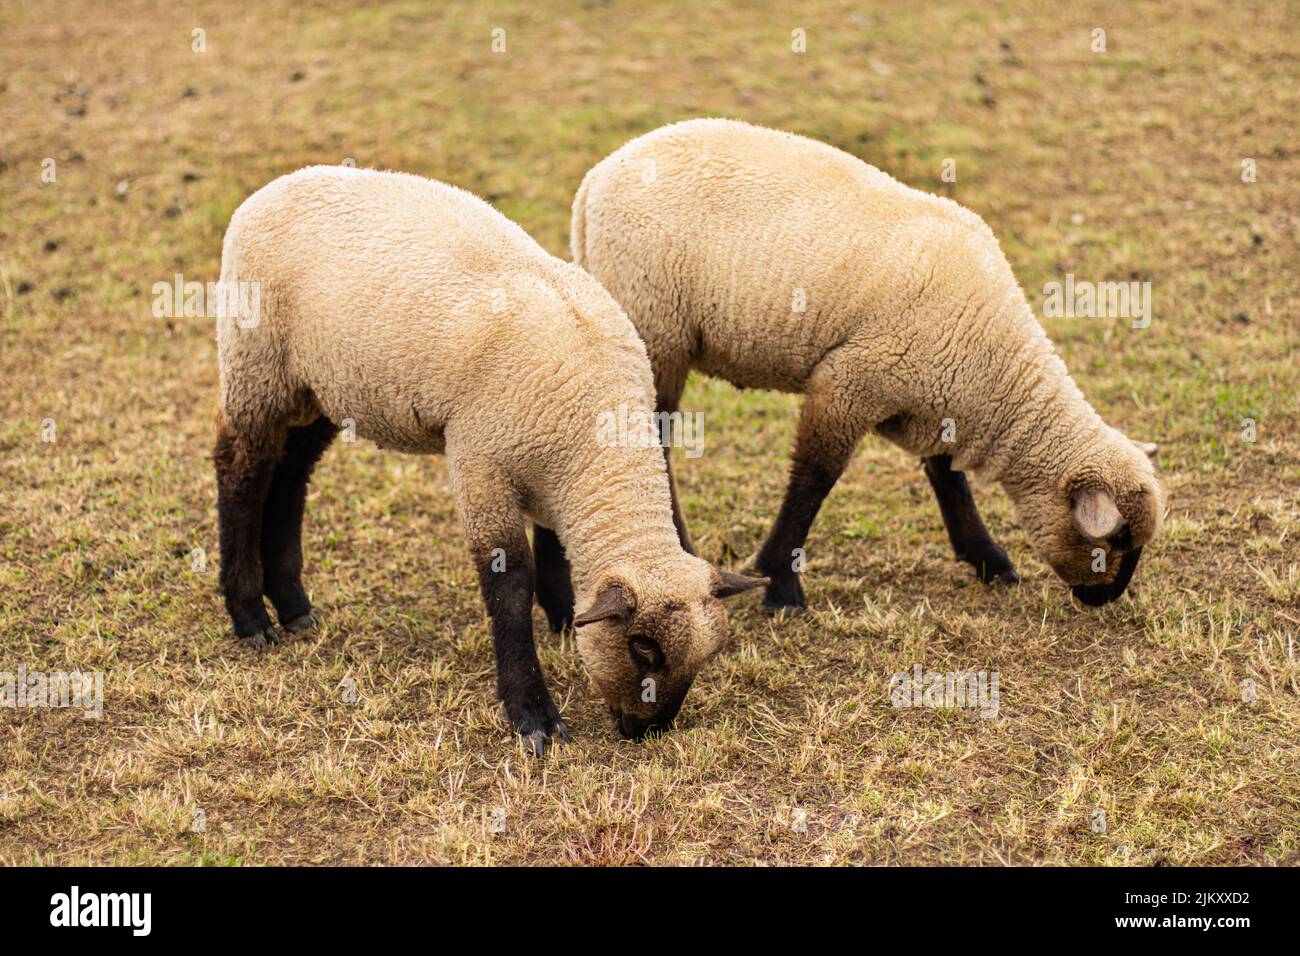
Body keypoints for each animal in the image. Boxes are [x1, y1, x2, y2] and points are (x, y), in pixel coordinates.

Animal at [213, 165, 765, 754]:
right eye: (642, 647)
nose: (649, 731)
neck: (592, 439)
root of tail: (278, 184)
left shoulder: (551, 475)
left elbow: (555, 548)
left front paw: (566, 619)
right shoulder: (481, 465)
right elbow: (510, 583)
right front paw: (532, 715)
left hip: (320, 384)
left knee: (291, 474)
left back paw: (293, 606)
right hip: (256, 363)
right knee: (242, 470)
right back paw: (251, 617)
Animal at [571, 119, 1165, 609]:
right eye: (1116, 540)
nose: (1106, 599)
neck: (996, 368)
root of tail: (595, 180)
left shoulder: (933, 396)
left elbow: (947, 476)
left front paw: (986, 559)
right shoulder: (850, 381)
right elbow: (815, 478)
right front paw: (780, 585)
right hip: (655, 329)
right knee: (650, 439)